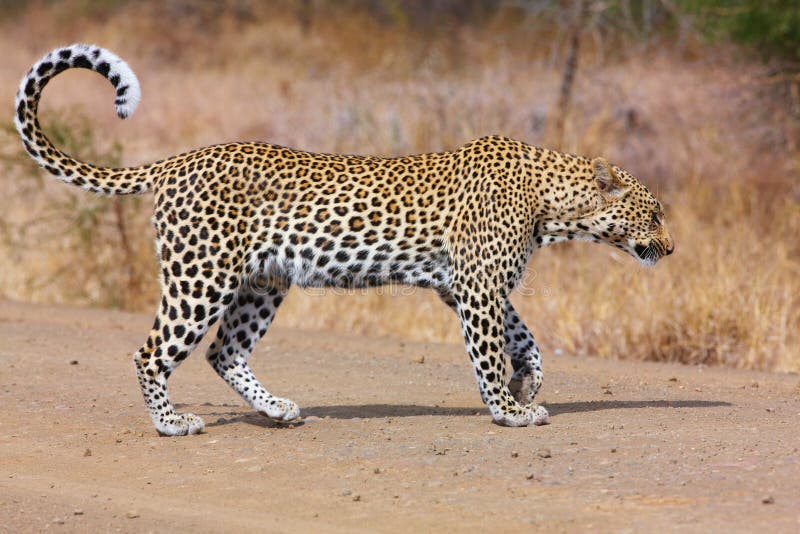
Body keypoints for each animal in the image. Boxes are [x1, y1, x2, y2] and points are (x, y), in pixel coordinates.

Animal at [15, 44, 674, 436]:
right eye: (656, 213)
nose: (670, 250)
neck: (553, 202)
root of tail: (179, 159)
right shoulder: (478, 287)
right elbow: (490, 350)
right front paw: (509, 410)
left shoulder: (463, 286)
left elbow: (524, 336)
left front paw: (528, 380)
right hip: (201, 276)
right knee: (153, 351)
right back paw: (172, 422)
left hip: (263, 282)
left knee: (224, 351)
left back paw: (277, 409)